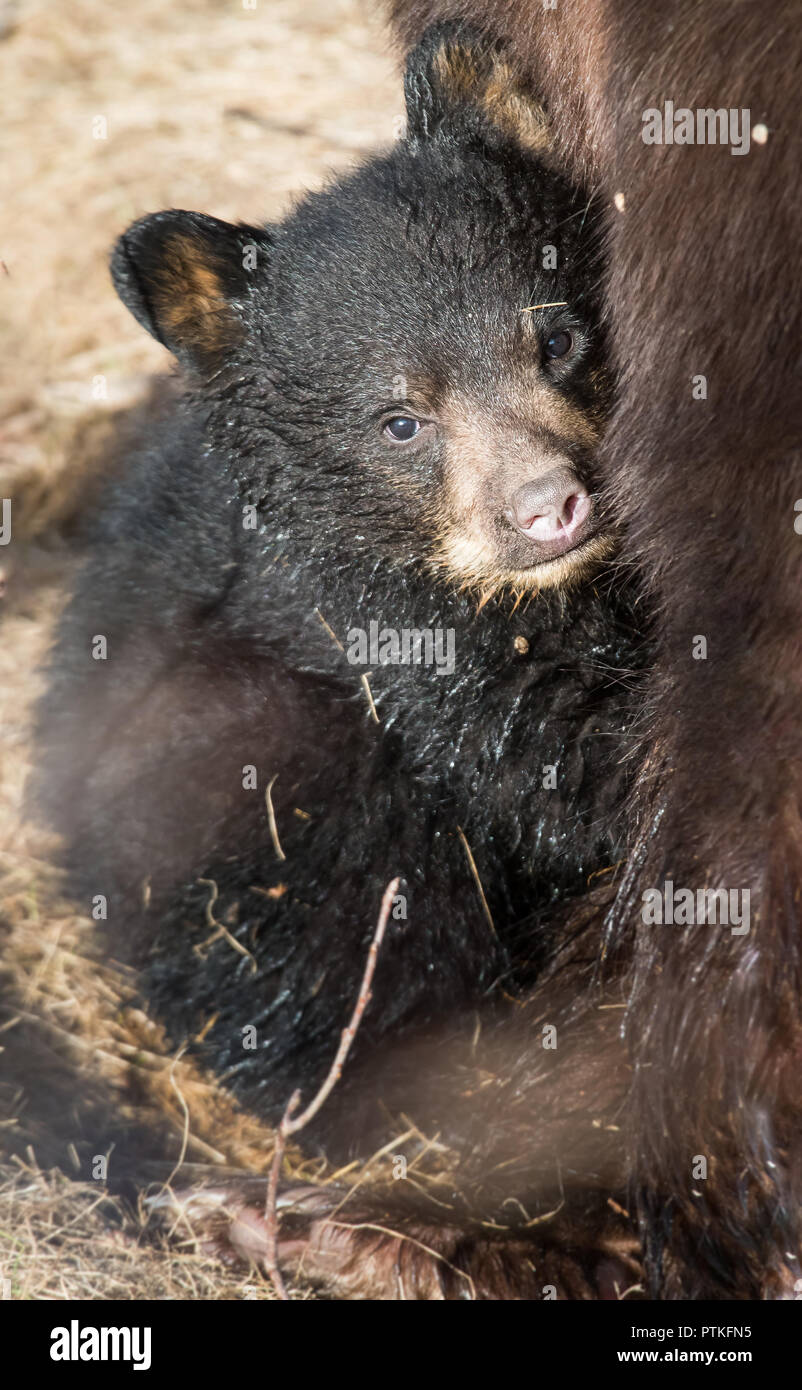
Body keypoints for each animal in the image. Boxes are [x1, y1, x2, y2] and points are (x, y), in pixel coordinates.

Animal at [32, 23, 647, 1277]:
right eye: (400, 420)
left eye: (555, 335)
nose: (548, 508)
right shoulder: (396, 636)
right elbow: (566, 758)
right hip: (240, 778)